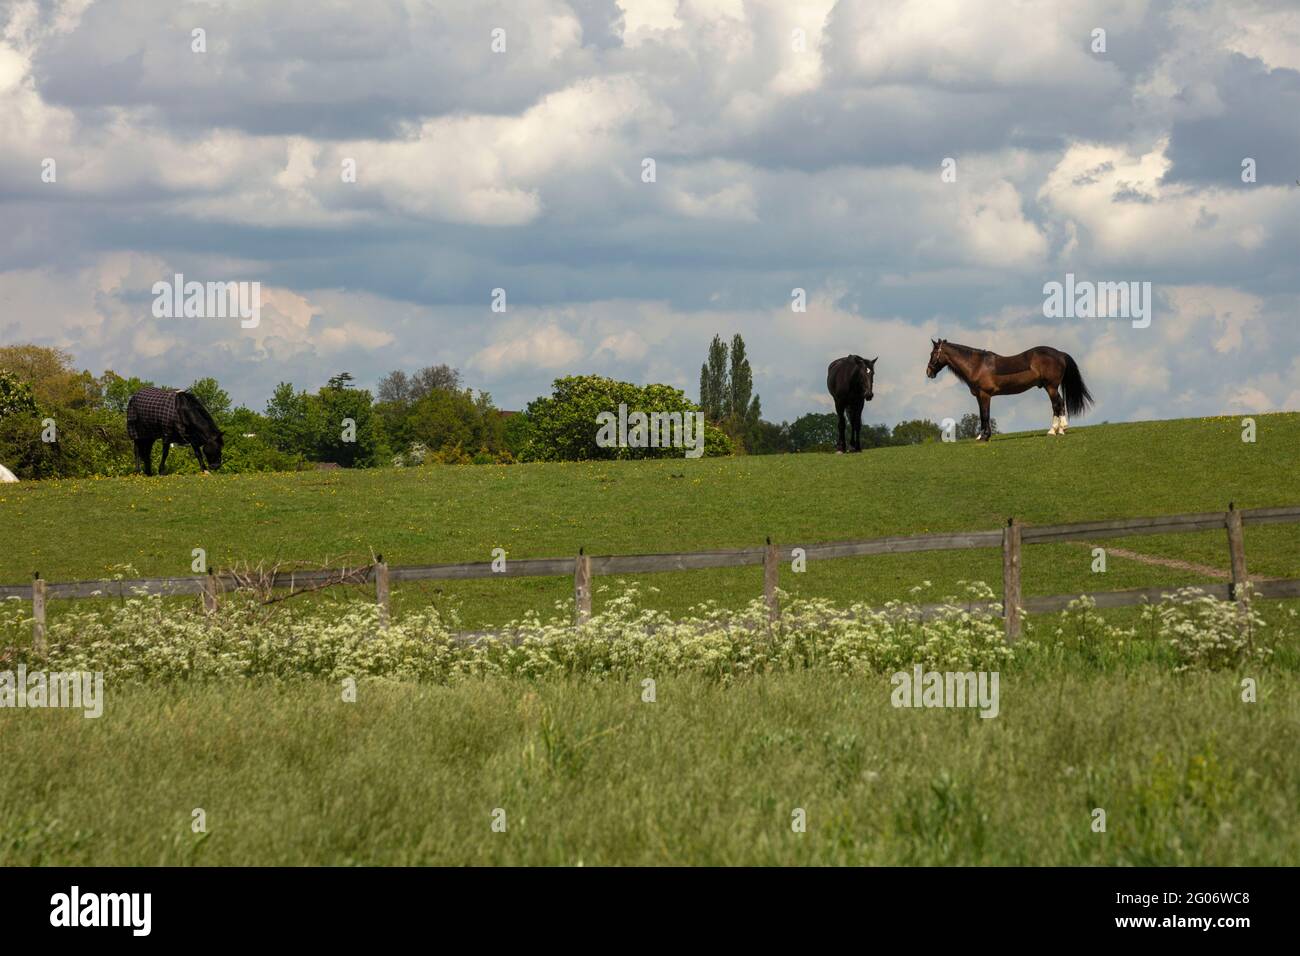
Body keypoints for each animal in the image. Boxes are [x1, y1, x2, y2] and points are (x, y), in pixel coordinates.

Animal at [925, 339, 1093, 441]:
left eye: (933, 354)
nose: (928, 372)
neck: (977, 365)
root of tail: (1059, 353)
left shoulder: (985, 395)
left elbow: (985, 415)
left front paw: (985, 437)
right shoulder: (979, 396)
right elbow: (982, 415)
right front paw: (981, 436)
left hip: (1051, 387)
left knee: (1057, 404)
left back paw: (1056, 430)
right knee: (1058, 404)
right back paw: (1059, 430)